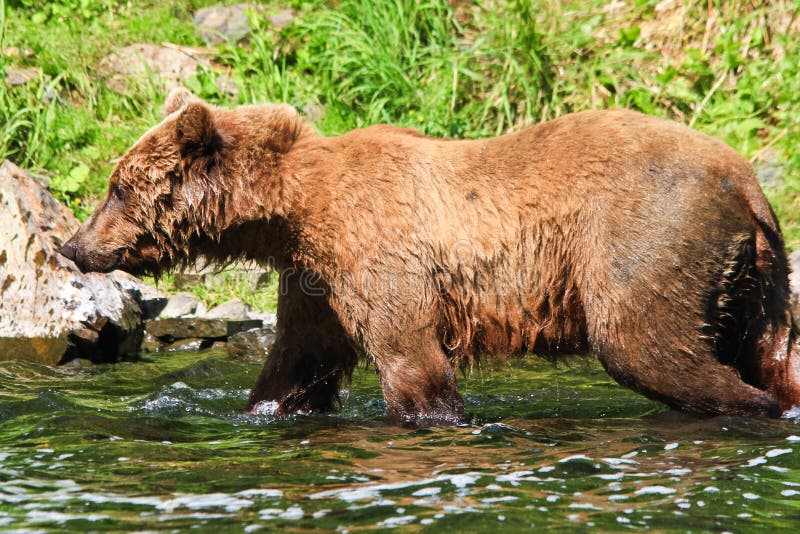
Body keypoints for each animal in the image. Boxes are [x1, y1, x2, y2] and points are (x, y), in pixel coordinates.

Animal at [61, 87, 800, 426]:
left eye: (118, 186)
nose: (73, 245)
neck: (293, 211)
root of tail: (747, 182)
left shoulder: (378, 255)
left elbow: (410, 359)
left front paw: (434, 416)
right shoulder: (315, 282)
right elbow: (296, 364)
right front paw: (260, 410)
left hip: (644, 239)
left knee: (645, 345)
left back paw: (749, 406)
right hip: (752, 275)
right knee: (772, 350)